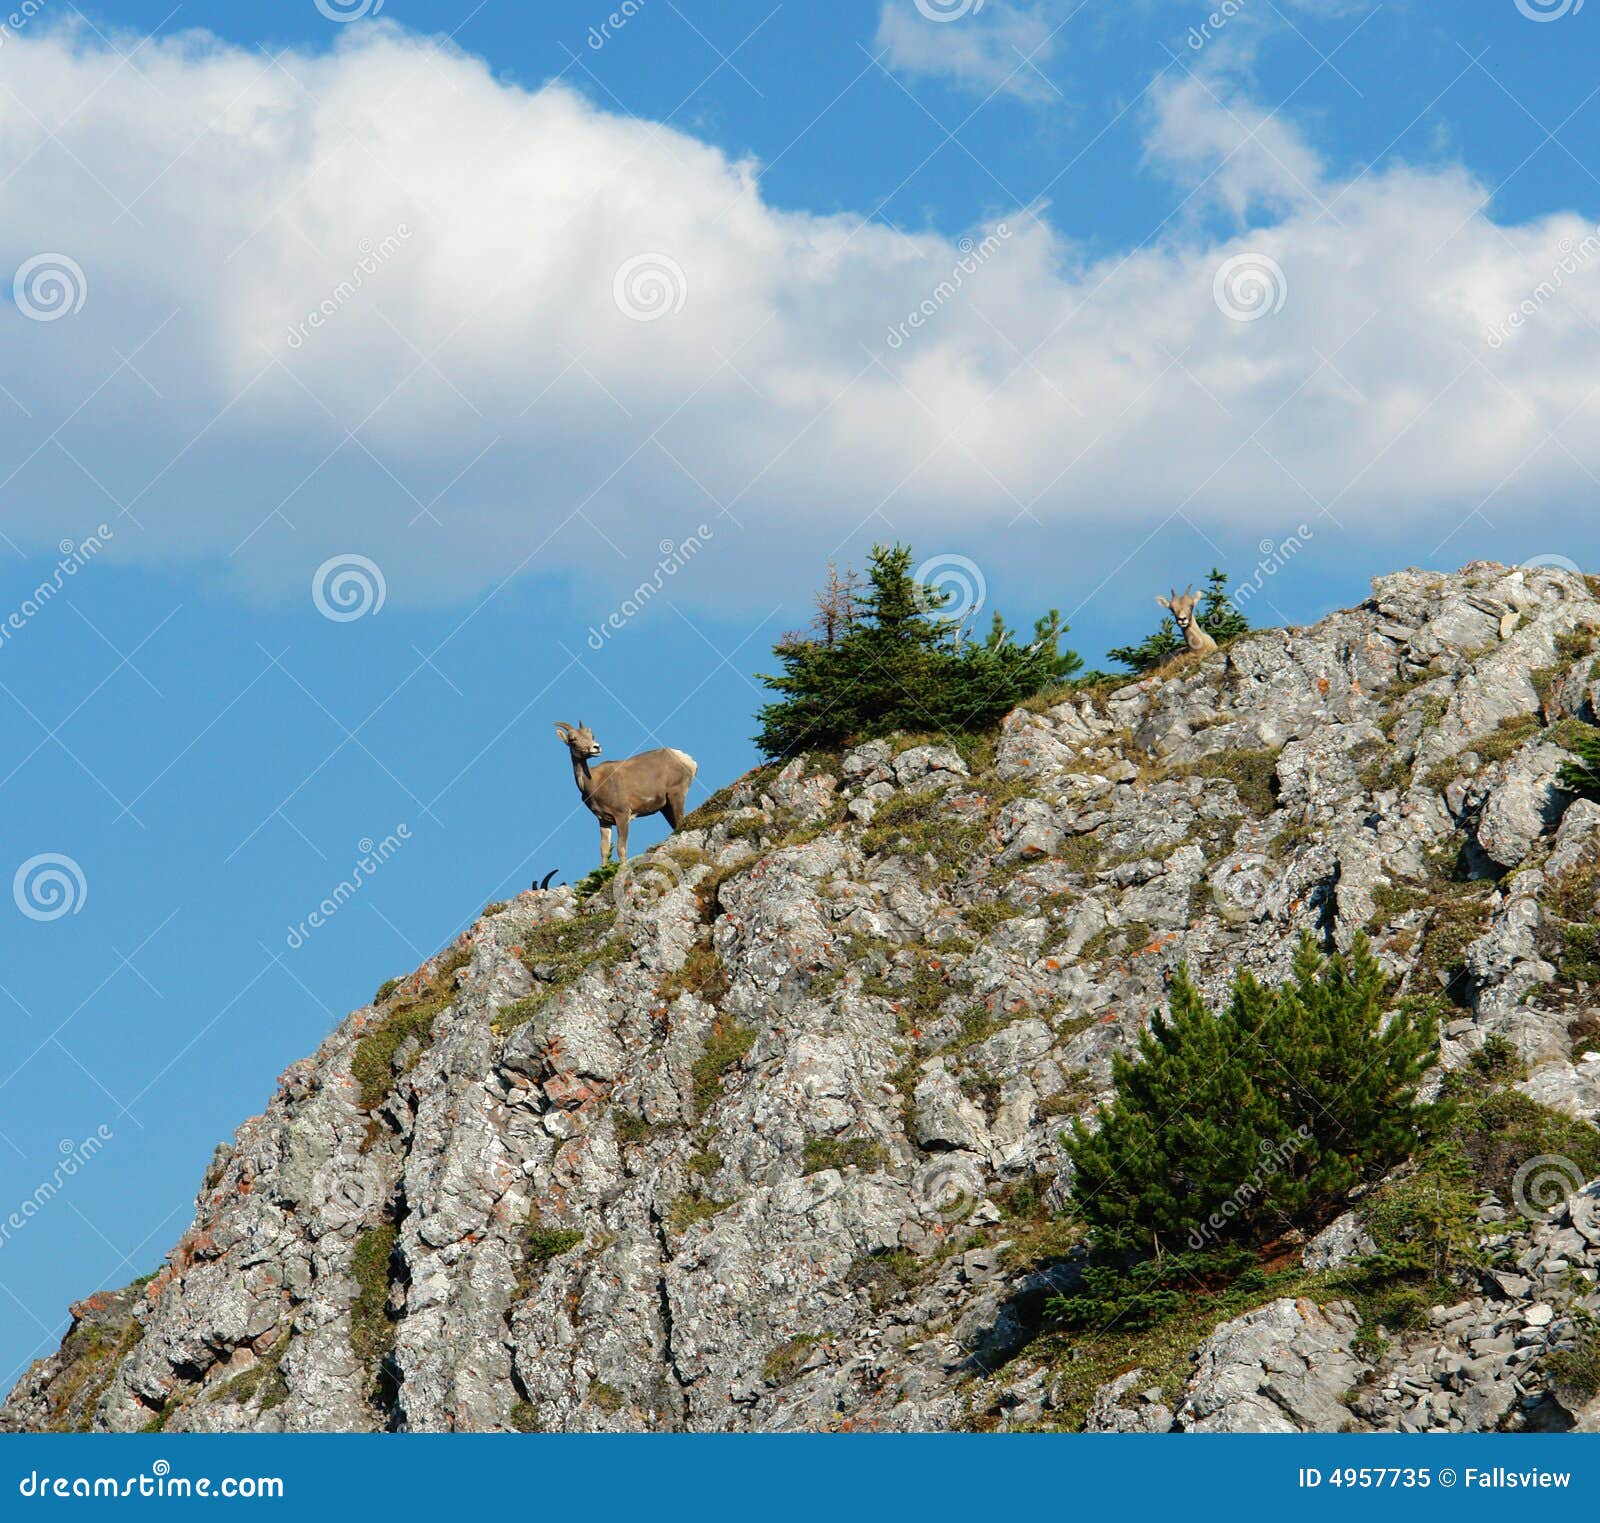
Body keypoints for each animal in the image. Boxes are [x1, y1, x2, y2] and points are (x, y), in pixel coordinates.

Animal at [554, 721, 698, 865]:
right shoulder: (603, 820)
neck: (594, 782)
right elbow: (604, 850)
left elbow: (621, 849)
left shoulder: (622, 815)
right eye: (572, 740)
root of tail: (687, 760)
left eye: (592, 736)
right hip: (665, 807)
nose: (596, 747)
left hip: (676, 795)